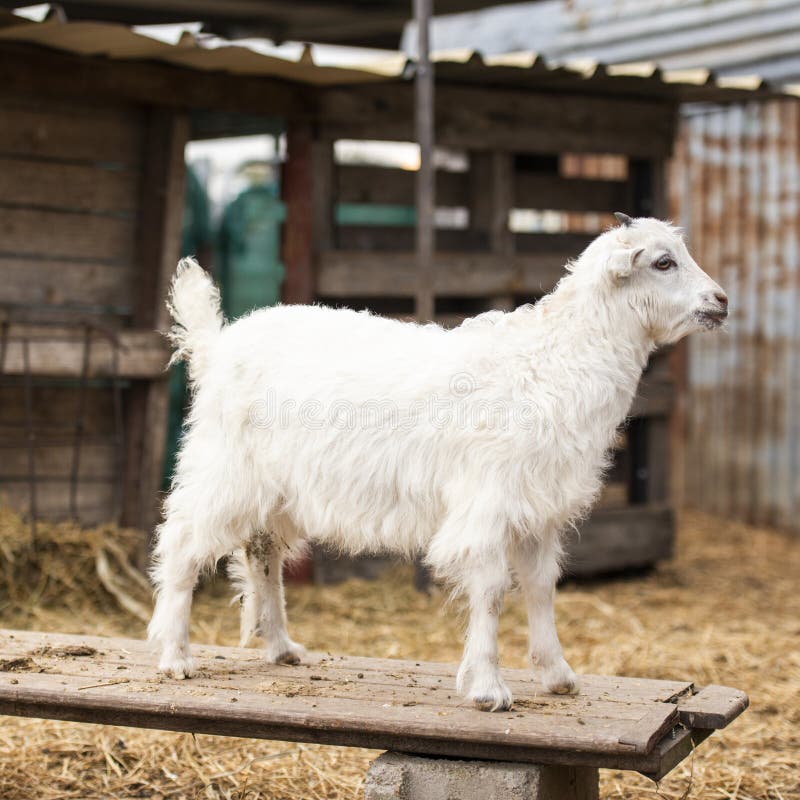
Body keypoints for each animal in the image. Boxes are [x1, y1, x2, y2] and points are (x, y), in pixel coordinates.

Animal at [148, 214, 727, 711]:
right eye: (663, 262)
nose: (721, 301)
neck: (551, 362)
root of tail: (217, 345)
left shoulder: (537, 507)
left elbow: (541, 587)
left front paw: (557, 674)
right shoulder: (487, 502)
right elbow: (491, 591)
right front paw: (488, 687)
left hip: (273, 486)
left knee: (262, 552)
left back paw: (281, 647)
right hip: (224, 468)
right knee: (181, 545)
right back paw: (175, 656)